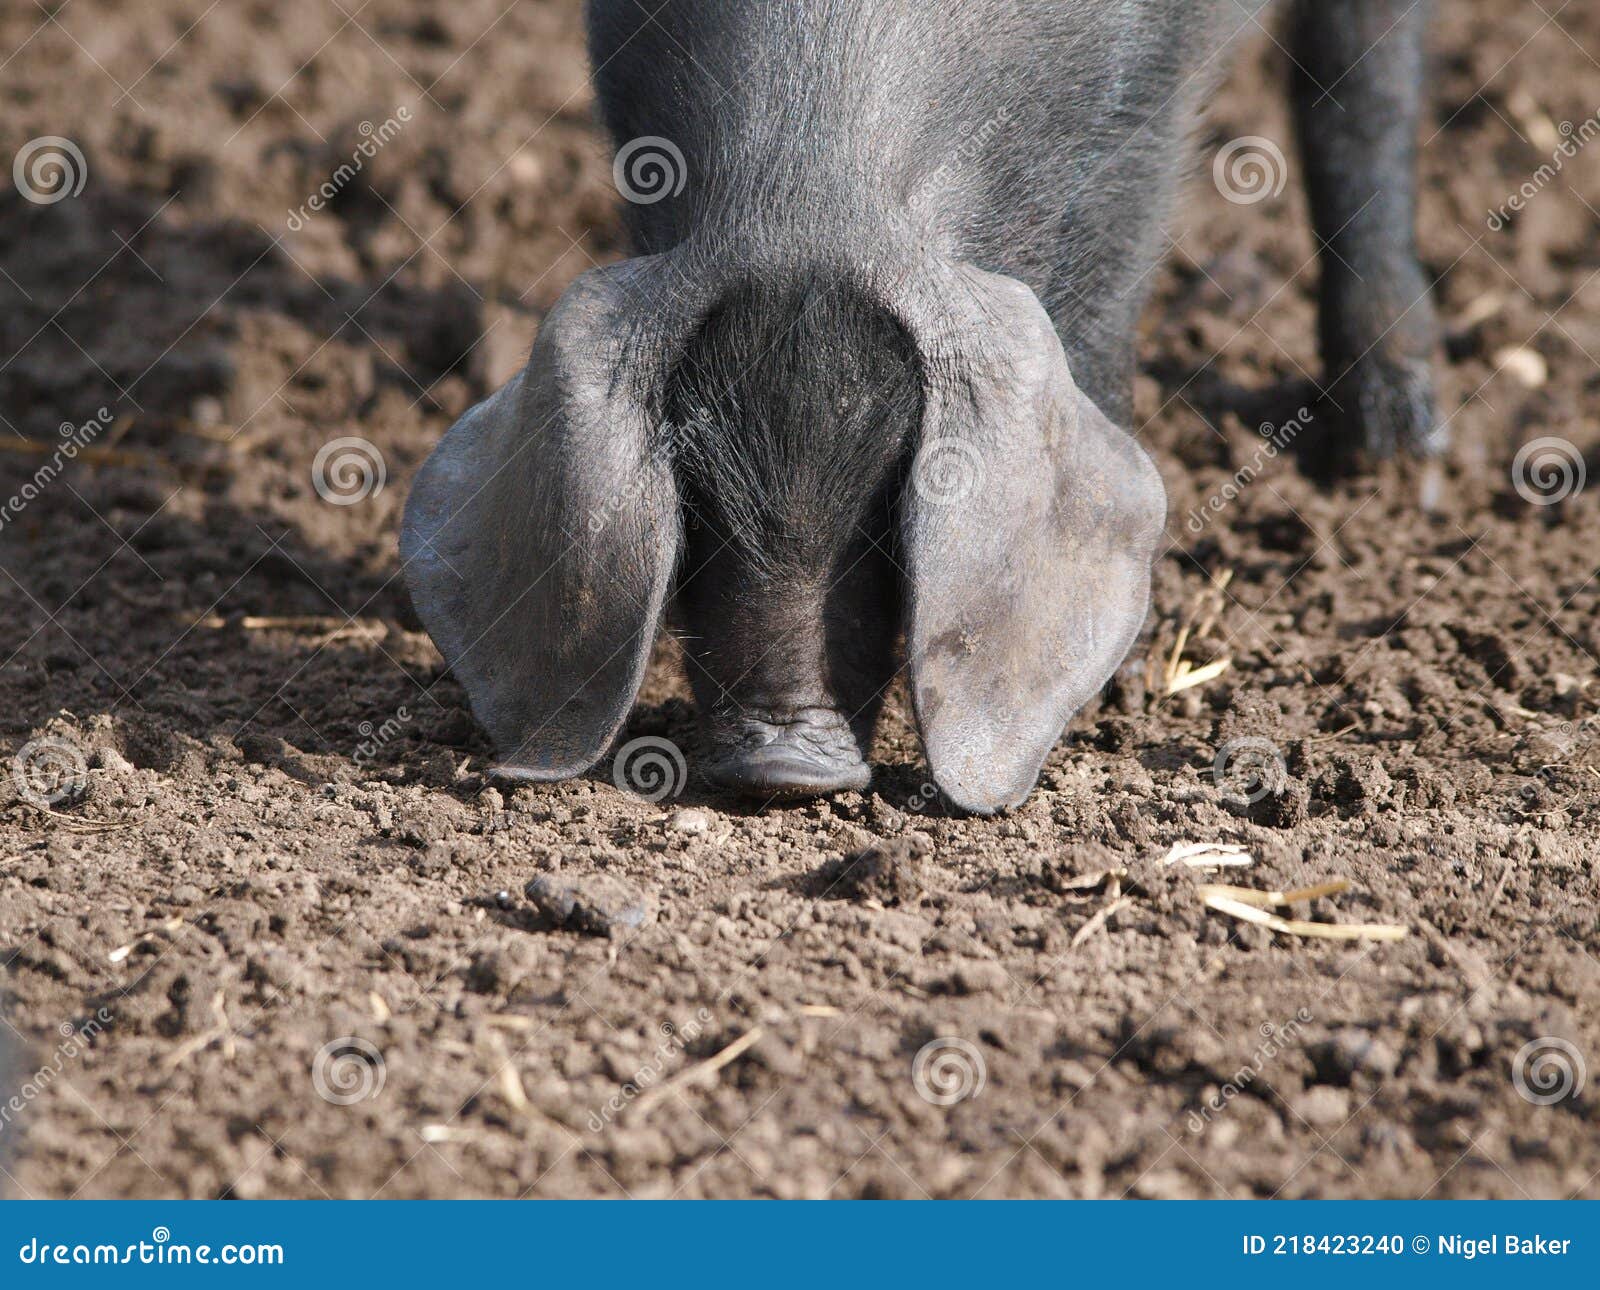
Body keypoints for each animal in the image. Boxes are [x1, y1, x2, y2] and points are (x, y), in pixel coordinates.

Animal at [402, 0, 1439, 813]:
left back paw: (1401, 454)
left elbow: (1104, 315)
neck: (812, 183)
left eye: (887, 518)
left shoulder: (1140, 123)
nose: (785, 767)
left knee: (1367, 93)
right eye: (696, 503)